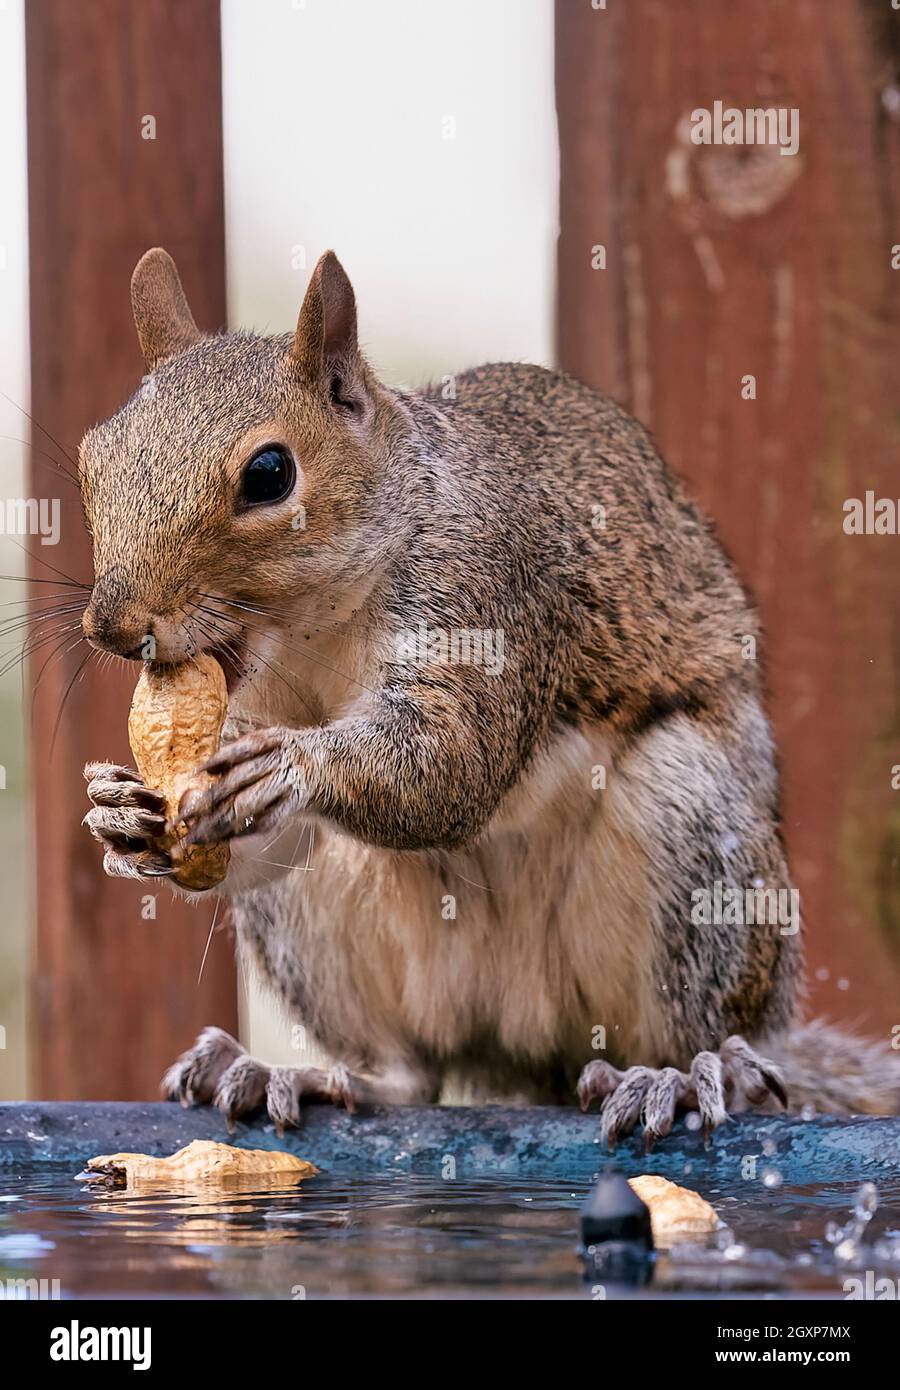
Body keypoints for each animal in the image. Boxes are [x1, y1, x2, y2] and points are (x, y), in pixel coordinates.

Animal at [79, 246, 900, 1146]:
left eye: (269, 474)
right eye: (92, 458)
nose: (112, 626)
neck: (313, 628)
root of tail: (529, 1057)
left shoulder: (488, 591)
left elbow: (451, 766)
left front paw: (293, 769)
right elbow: (262, 835)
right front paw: (124, 816)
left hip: (695, 835)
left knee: (710, 1031)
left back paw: (684, 1077)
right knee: (409, 1074)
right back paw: (295, 1074)